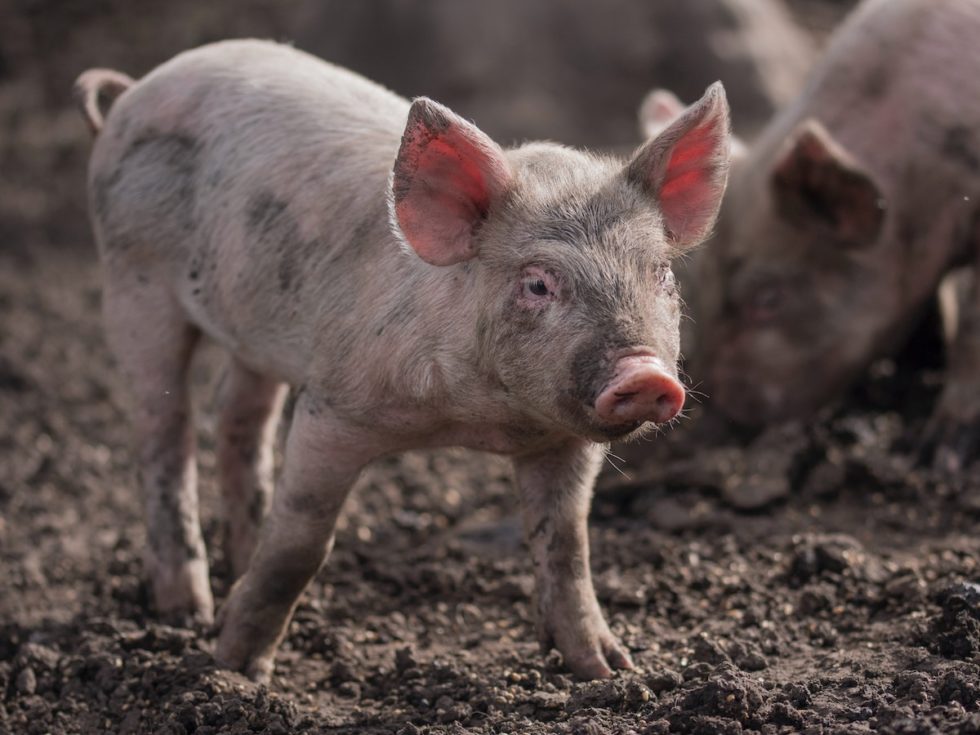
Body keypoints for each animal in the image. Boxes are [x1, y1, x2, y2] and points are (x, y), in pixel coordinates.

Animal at [74, 40, 731, 681]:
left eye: (661, 273)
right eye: (539, 284)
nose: (645, 374)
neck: (476, 421)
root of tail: (134, 90)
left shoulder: (563, 441)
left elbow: (567, 546)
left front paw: (609, 672)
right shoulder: (333, 404)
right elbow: (301, 543)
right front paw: (235, 670)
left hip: (251, 325)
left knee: (239, 417)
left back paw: (234, 565)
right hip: (131, 279)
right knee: (165, 432)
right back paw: (185, 610)